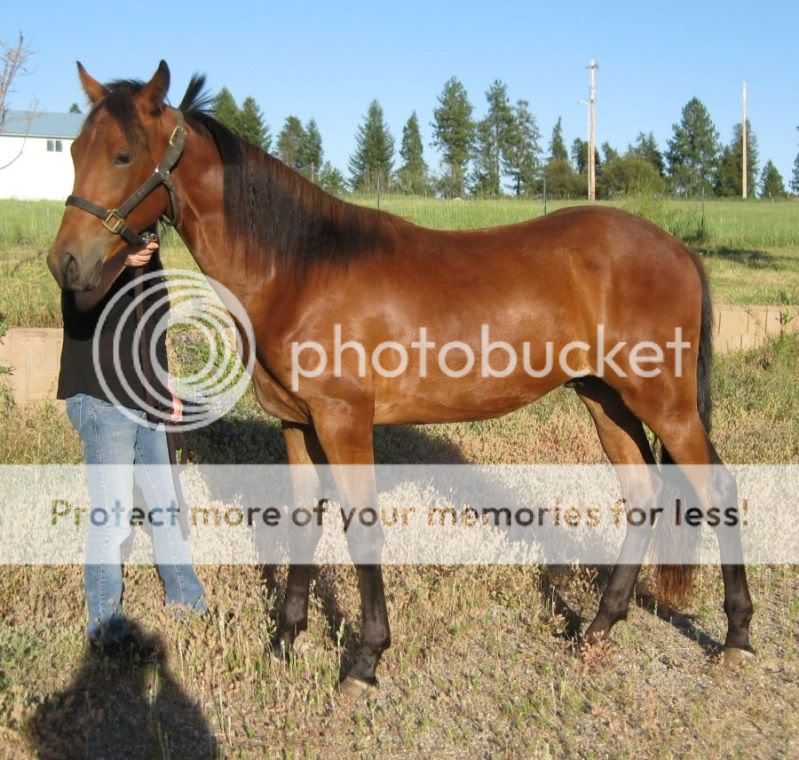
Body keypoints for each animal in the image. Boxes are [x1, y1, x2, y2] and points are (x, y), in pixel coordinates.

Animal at [47, 61, 754, 694]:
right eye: (74, 150)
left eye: (123, 155)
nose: (67, 263)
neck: (299, 270)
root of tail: (677, 249)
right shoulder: (297, 425)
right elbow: (301, 523)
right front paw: (284, 642)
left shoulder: (344, 422)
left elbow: (362, 528)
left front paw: (364, 661)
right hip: (605, 399)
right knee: (644, 495)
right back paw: (598, 629)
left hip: (664, 402)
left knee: (718, 489)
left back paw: (737, 639)